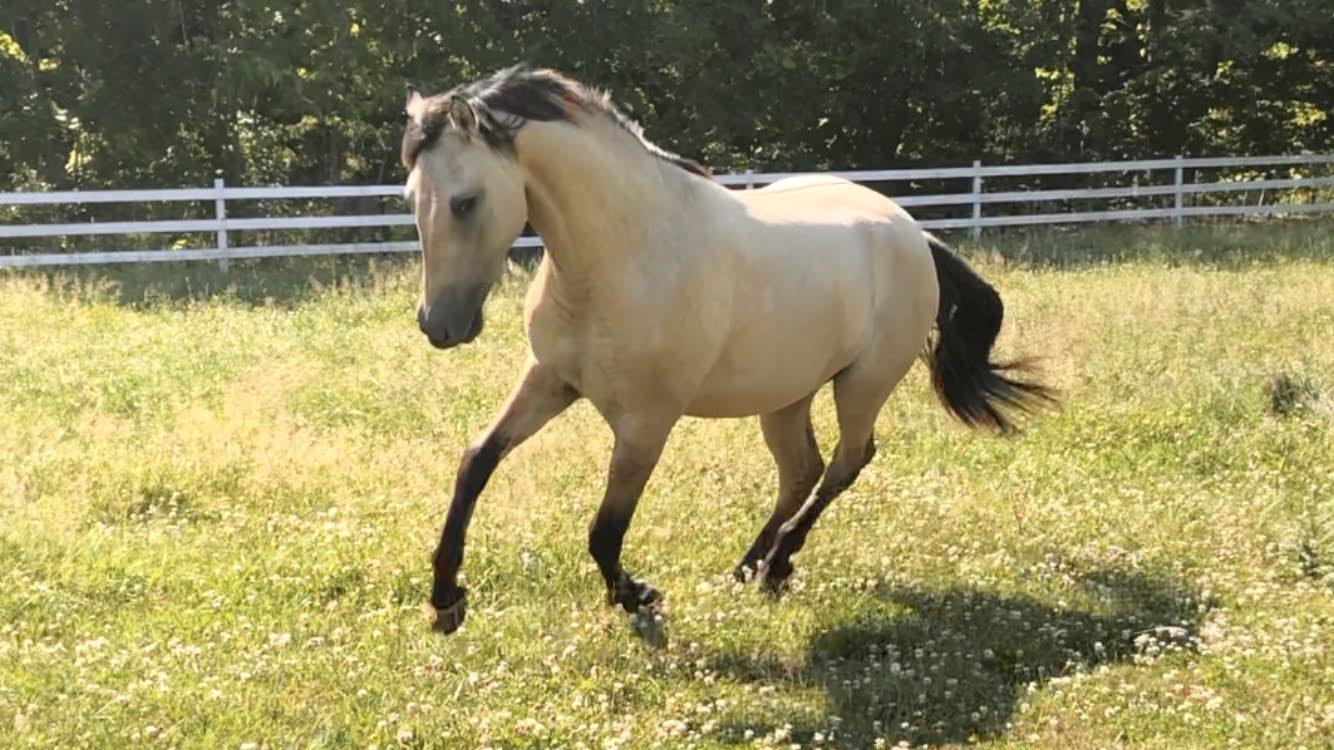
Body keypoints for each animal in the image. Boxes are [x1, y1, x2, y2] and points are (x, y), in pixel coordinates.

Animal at [401, 67, 1054, 634]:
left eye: (464, 201)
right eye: (410, 196)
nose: (439, 327)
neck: (621, 255)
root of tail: (911, 232)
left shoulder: (646, 423)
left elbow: (604, 530)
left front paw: (636, 596)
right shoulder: (550, 379)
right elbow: (476, 463)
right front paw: (446, 600)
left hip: (863, 384)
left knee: (846, 463)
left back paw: (777, 565)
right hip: (787, 394)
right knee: (802, 470)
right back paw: (748, 566)